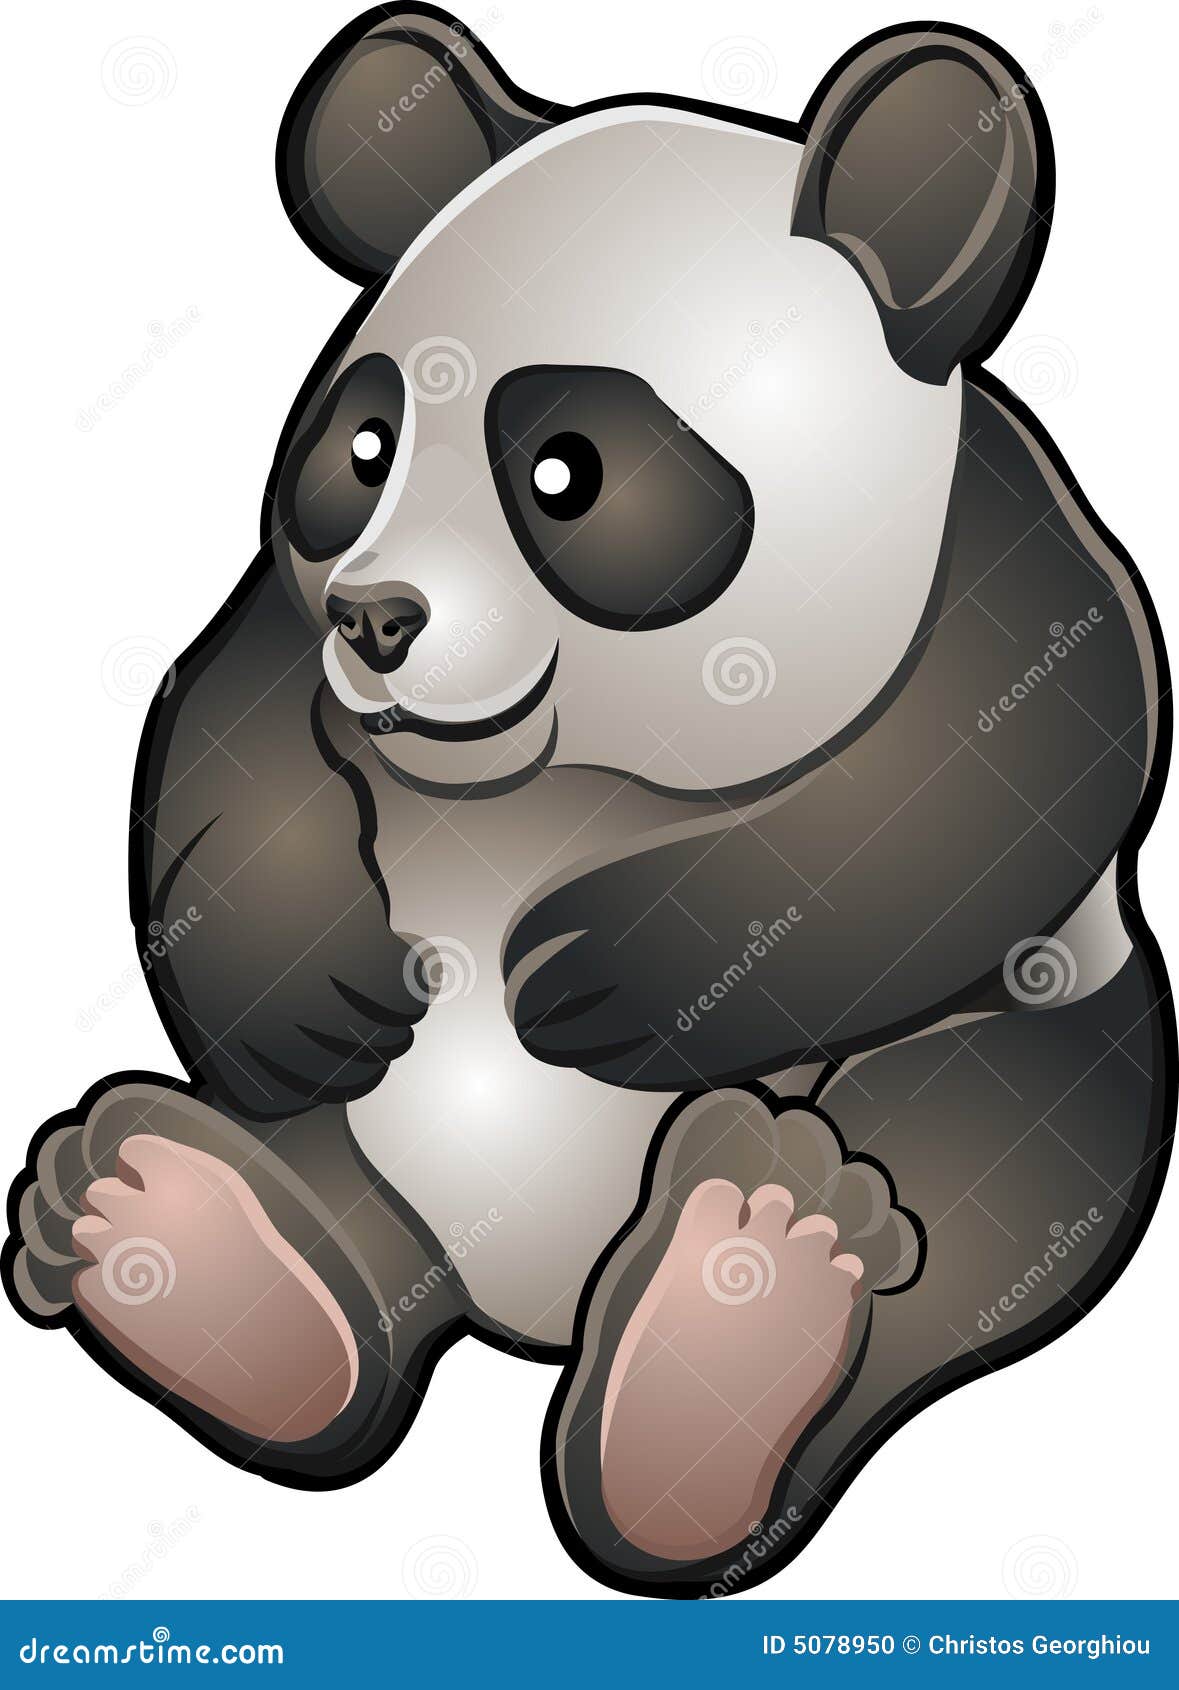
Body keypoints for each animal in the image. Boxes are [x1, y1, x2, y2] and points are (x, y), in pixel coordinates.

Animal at [4, 6, 1173, 1599]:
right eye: (358, 450)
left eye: (570, 473)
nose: (378, 618)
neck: (559, 774)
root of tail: (523, 1305)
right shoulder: (283, 629)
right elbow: (235, 735)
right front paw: (311, 978)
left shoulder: (997, 559)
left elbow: (988, 783)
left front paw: (594, 974)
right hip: (362, 1146)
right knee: (340, 1227)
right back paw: (186, 1241)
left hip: (1047, 1042)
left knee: (970, 1181)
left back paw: (741, 1294)